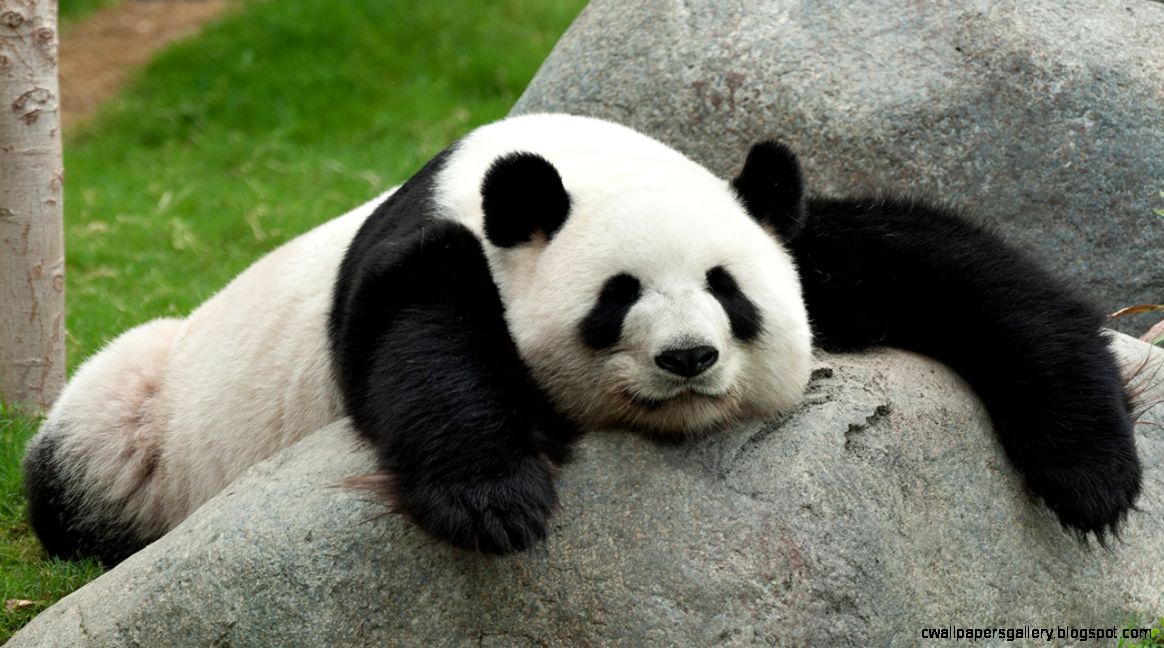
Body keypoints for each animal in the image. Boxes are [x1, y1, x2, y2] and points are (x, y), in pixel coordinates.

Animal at [23, 113, 1140, 565]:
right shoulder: (436, 245)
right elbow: (419, 342)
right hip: (144, 409)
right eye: (617, 298)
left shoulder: (778, 223)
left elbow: (954, 269)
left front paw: (1094, 476)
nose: (687, 358)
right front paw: (497, 499)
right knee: (84, 456)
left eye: (729, 294)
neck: (570, 159)